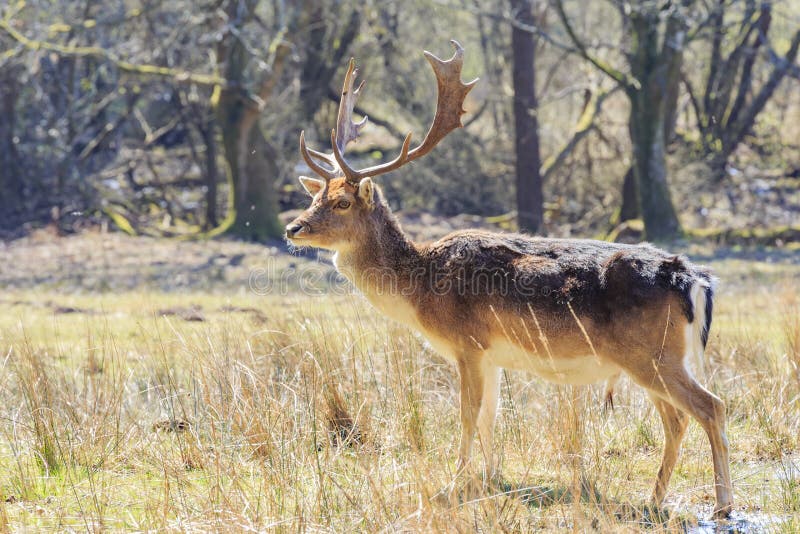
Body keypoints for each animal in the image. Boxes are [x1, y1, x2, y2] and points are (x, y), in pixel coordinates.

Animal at [285, 41, 732, 520]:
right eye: (315, 196)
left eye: (344, 202)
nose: (293, 228)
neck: (422, 287)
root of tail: (695, 279)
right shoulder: (492, 355)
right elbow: (489, 418)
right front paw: (490, 479)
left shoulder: (468, 343)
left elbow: (467, 414)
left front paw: (453, 485)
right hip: (655, 357)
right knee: (677, 419)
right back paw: (653, 499)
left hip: (652, 355)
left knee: (711, 406)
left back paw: (723, 505)